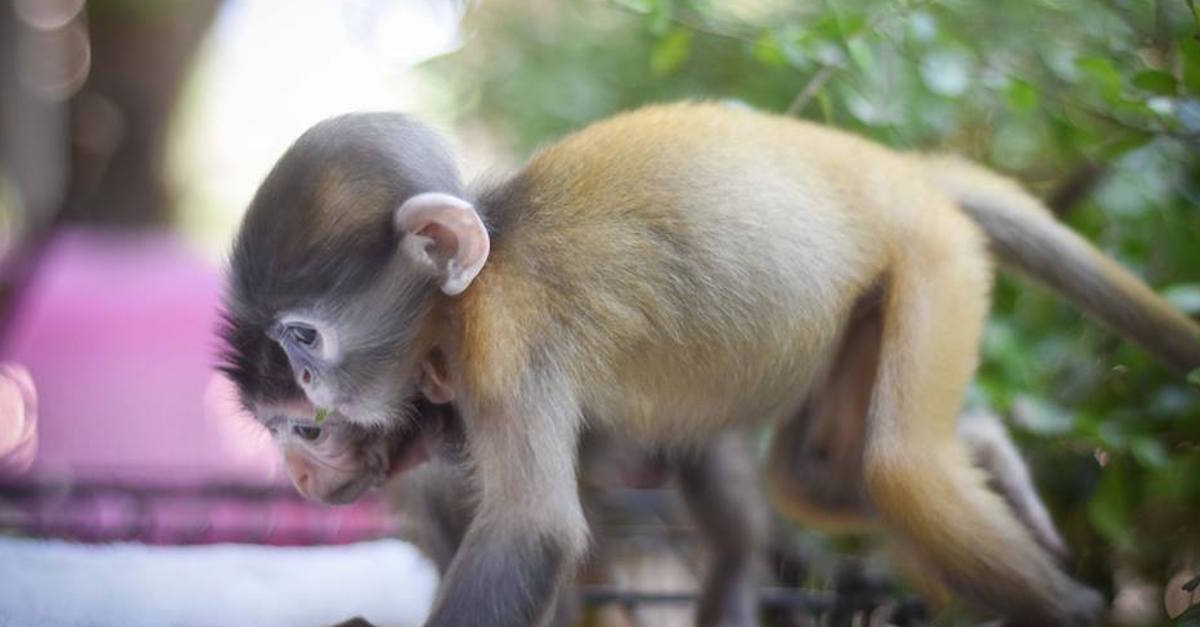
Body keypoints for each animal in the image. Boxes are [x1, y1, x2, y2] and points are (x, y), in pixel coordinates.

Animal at [221, 102, 1200, 627]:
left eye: (305, 358)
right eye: (279, 428)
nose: (300, 467)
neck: (469, 287)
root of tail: (900, 174)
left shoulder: (501, 339)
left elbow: (532, 530)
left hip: (937, 255)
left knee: (902, 468)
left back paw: (1068, 603)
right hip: (888, 291)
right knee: (813, 472)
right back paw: (988, 447)